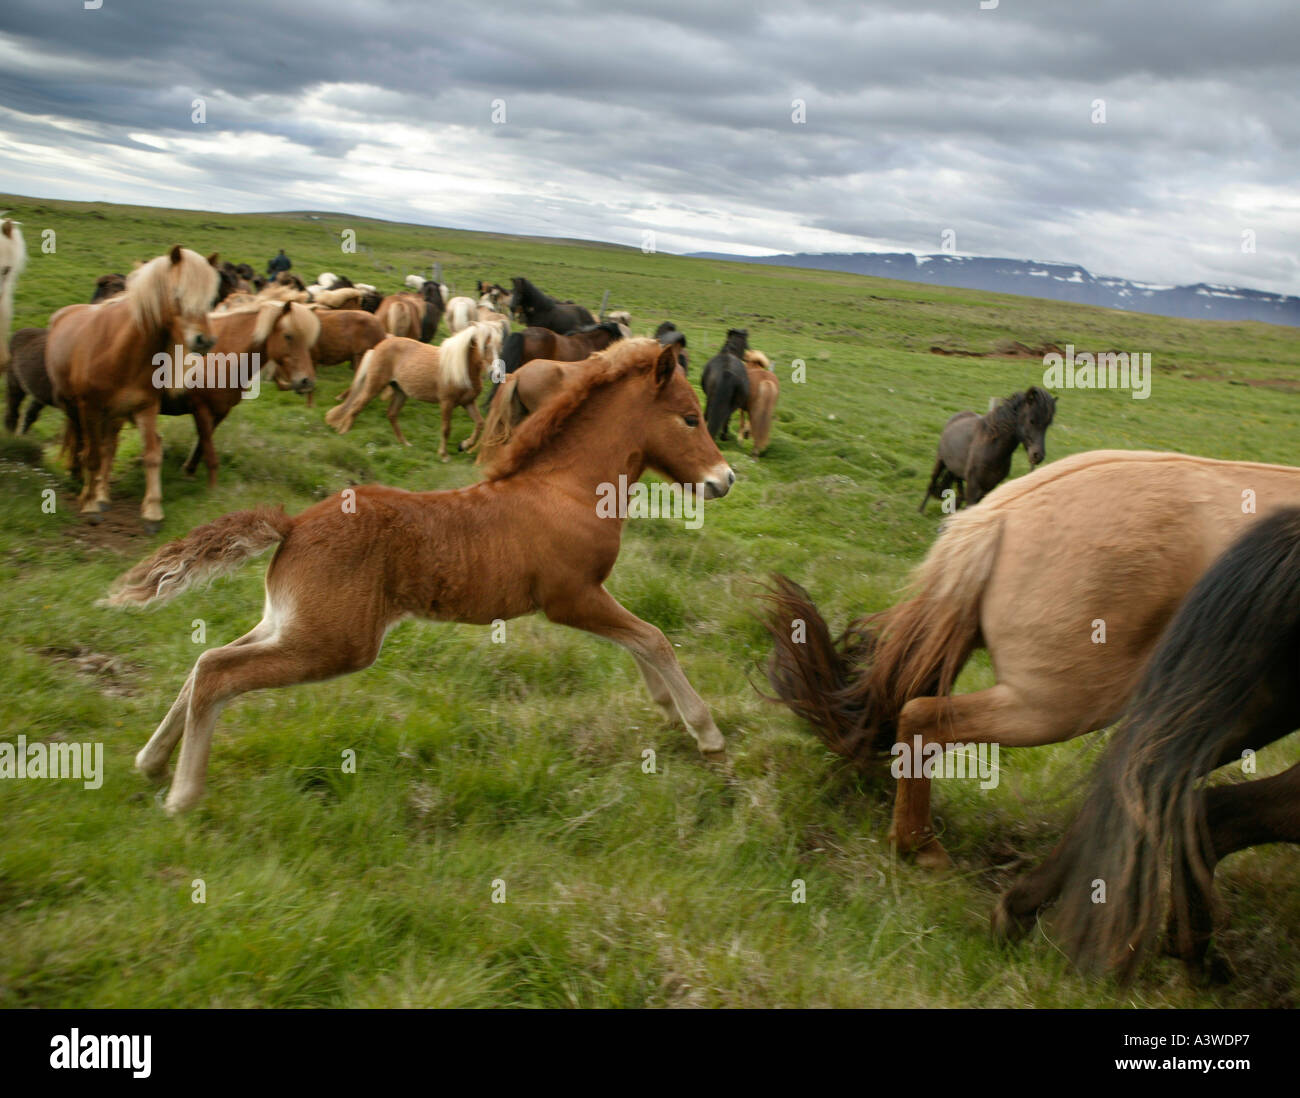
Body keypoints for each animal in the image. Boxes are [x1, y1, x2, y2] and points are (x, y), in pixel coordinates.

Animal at [46, 246, 220, 530]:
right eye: (177, 293)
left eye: (211, 299)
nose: (205, 340)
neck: (120, 349)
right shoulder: (90, 407)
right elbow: (92, 456)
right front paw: (90, 505)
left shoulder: (145, 408)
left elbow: (151, 455)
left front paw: (152, 511)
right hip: (74, 408)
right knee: (84, 445)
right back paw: (84, 488)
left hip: (113, 415)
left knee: (109, 447)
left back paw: (102, 493)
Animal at [106, 338, 735, 816]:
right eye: (690, 418)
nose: (724, 479)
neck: (566, 489)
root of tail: (293, 525)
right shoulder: (572, 598)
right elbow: (654, 637)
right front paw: (707, 734)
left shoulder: (589, 597)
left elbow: (640, 641)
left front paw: (666, 708)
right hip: (335, 643)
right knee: (218, 673)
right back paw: (183, 796)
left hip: (286, 623)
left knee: (202, 664)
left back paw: (150, 762)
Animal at [158, 301, 319, 486]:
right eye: (288, 336)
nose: (307, 381)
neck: (221, 355)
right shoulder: (201, 408)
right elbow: (210, 455)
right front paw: (213, 490)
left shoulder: (220, 411)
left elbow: (202, 445)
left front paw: (190, 471)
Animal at [324, 322, 501, 458]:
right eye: (485, 346)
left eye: (499, 346)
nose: (497, 374)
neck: (459, 368)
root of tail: (377, 347)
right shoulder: (447, 402)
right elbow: (446, 429)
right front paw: (444, 455)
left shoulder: (468, 402)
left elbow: (480, 423)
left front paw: (464, 445)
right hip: (374, 386)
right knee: (356, 406)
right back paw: (344, 432)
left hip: (400, 392)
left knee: (391, 414)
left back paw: (405, 444)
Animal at [919, 387, 1057, 512]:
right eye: (1031, 420)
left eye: (1047, 425)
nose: (1038, 455)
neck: (992, 450)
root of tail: (955, 417)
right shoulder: (973, 484)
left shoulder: (989, 486)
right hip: (940, 461)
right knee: (932, 482)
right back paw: (920, 510)